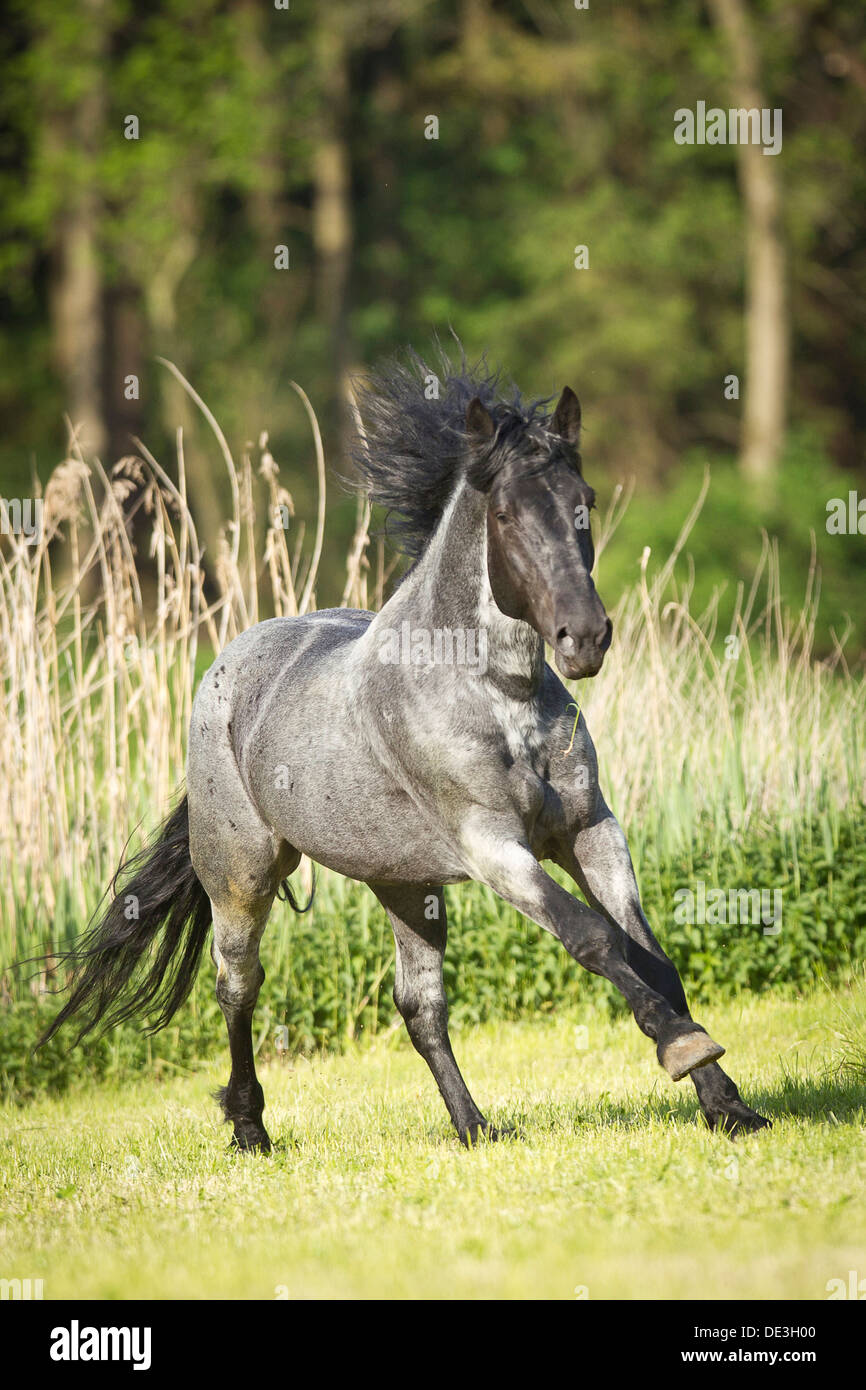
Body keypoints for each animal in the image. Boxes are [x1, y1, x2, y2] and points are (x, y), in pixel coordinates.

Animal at [42, 355, 770, 1147]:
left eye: (587, 501)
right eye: (506, 515)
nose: (584, 638)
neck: (498, 695)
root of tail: (226, 668)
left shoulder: (590, 830)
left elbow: (650, 953)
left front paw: (730, 1107)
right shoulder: (493, 847)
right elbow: (593, 940)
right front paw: (682, 1046)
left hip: (402, 883)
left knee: (419, 1004)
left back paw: (474, 1128)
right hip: (241, 876)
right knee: (238, 985)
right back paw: (250, 1129)